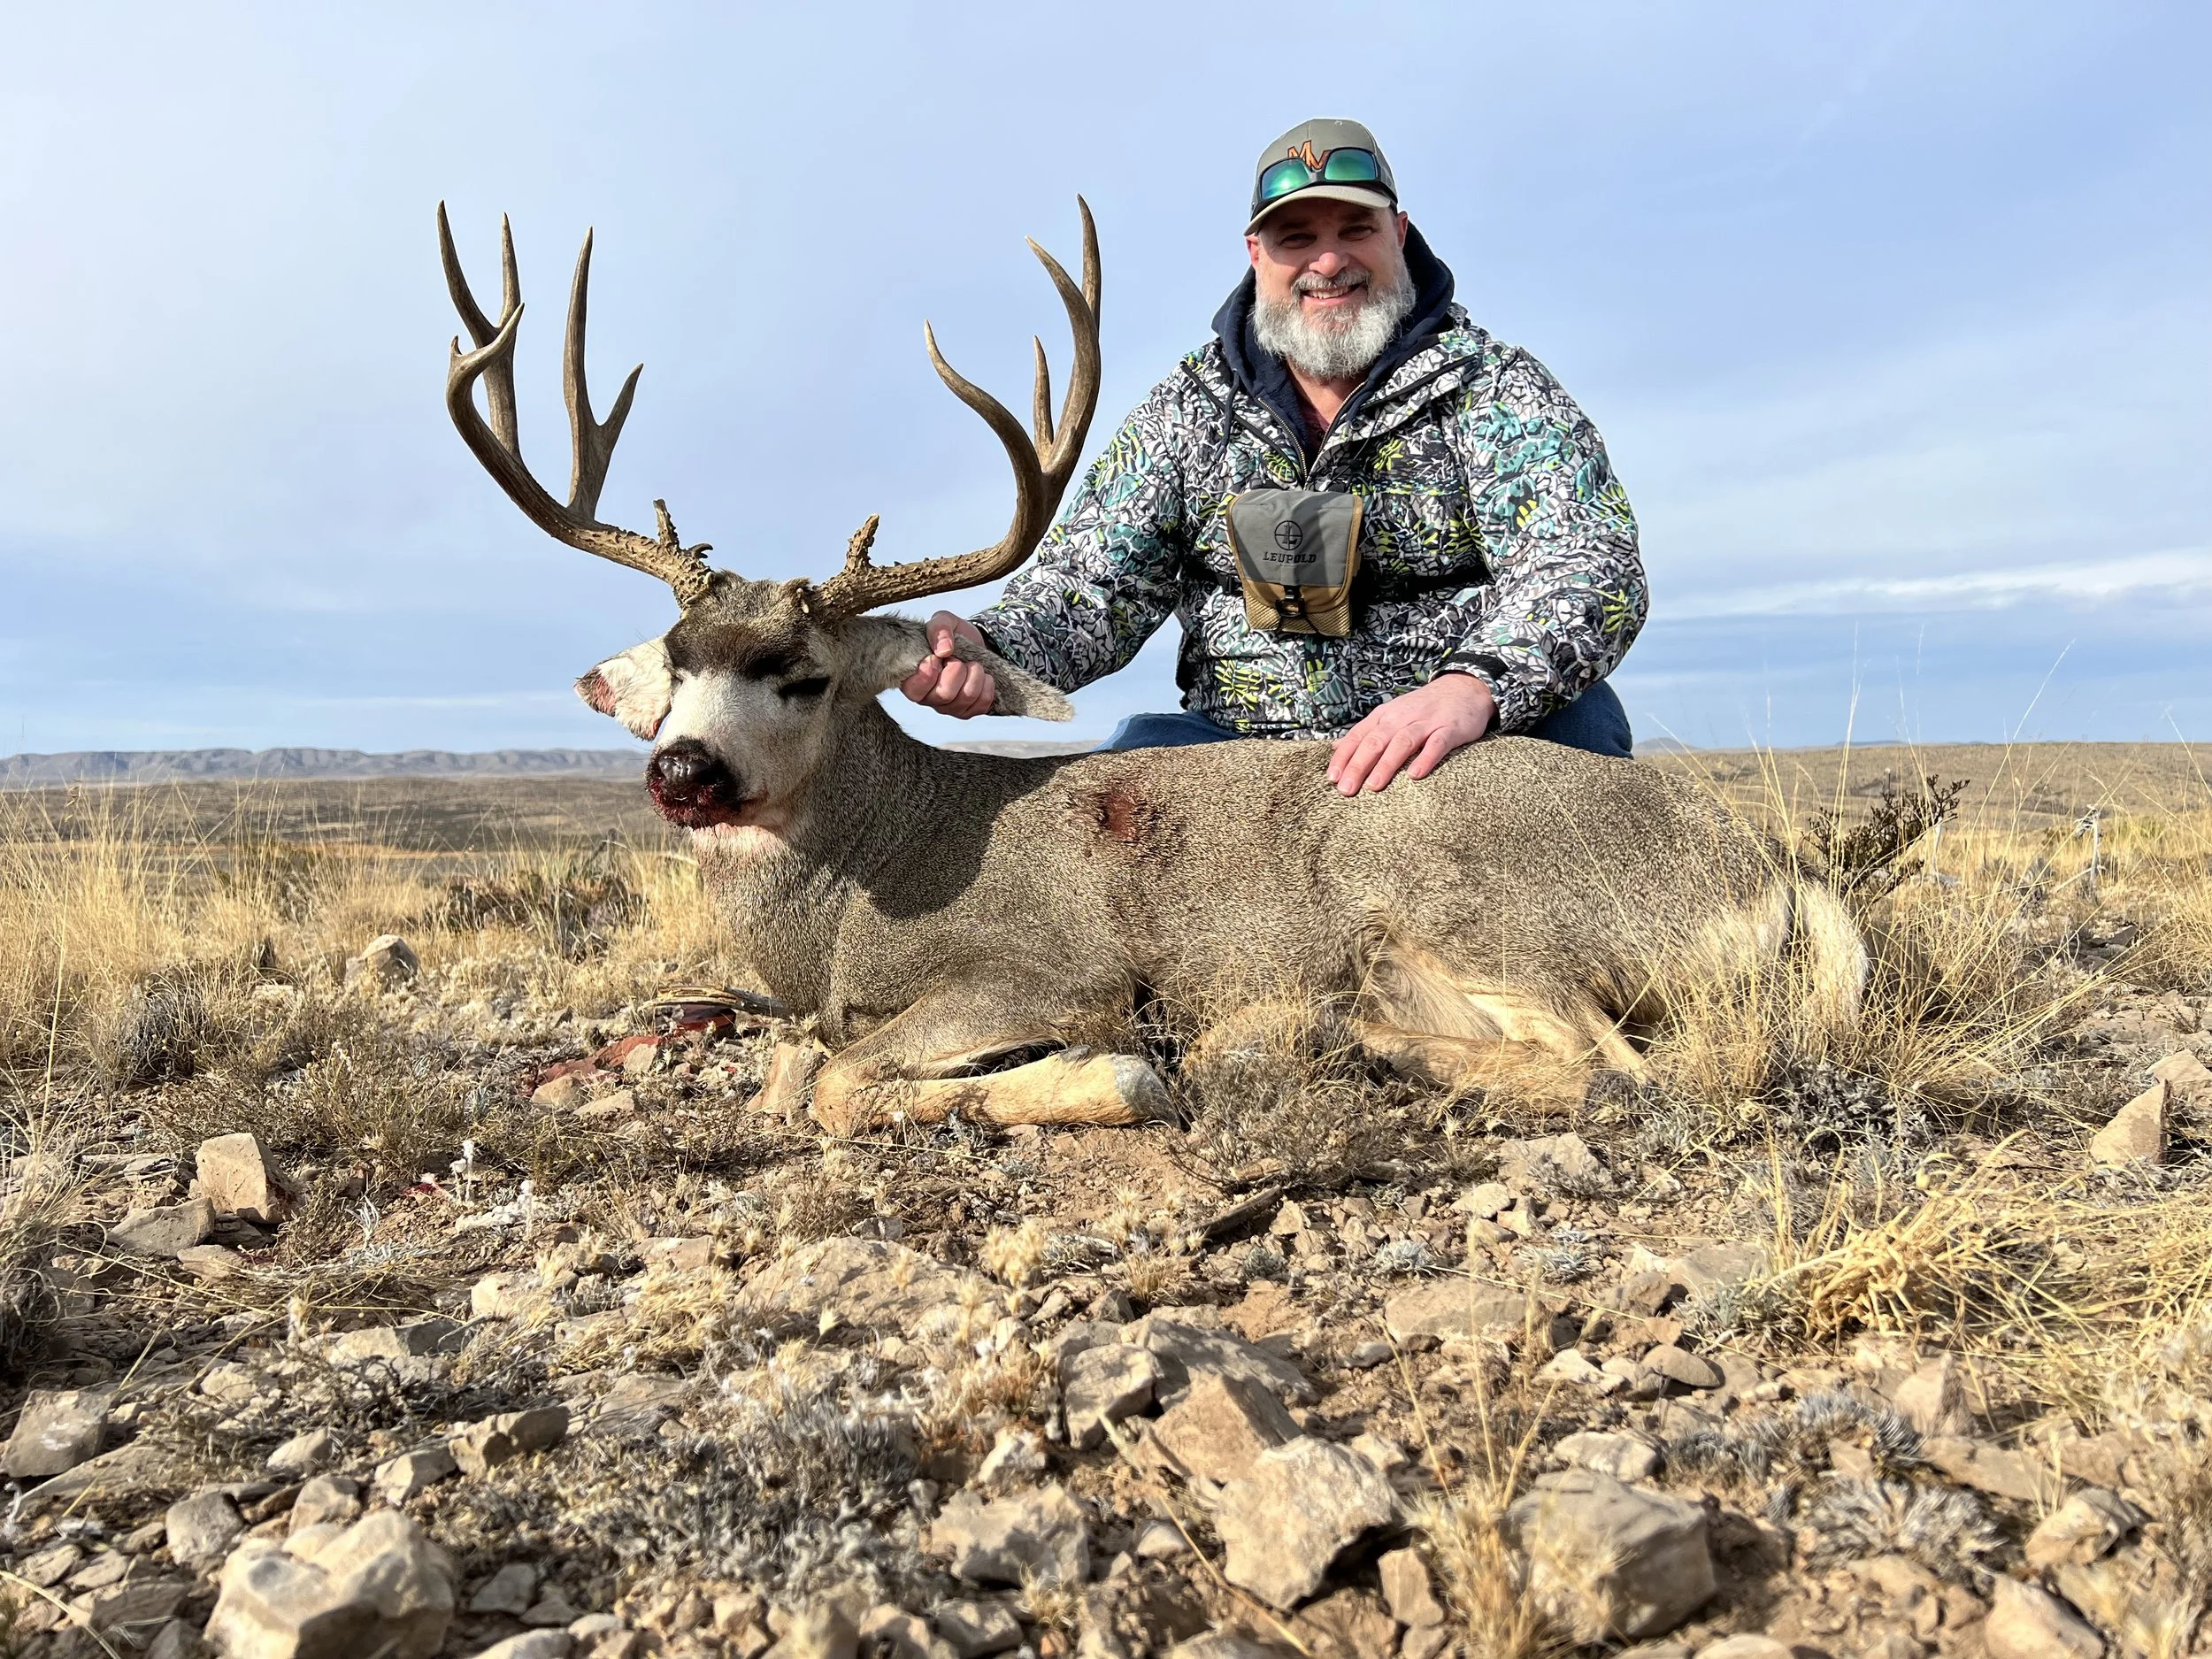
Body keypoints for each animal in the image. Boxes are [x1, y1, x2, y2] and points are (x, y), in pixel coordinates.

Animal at [436, 201, 1868, 1136]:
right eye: (676, 664)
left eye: (804, 672)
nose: (682, 771)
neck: (858, 894)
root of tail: (1771, 870)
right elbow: (804, 1068)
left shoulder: (1041, 968)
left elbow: (843, 1085)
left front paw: (1107, 1077)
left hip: (1470, 894)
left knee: (1620, 1067)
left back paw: (1313, 1035)